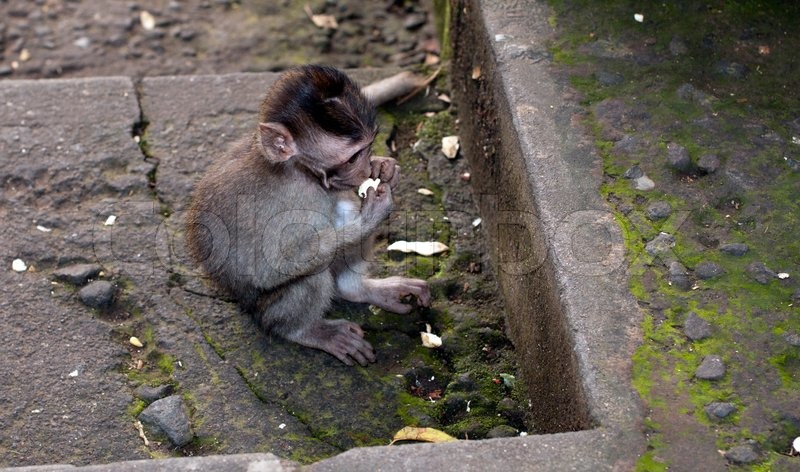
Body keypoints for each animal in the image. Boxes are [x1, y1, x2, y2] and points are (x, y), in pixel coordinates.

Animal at [185, 65, 431, 366]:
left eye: (369, 147)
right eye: (352, 158)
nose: (364, 171)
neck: (298, 171)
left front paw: (385, 168)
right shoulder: (282, 200)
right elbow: (270, 267)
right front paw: (371, 216)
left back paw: (358, 290)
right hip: (269, 311)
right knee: (309, 274)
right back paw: (306, 331)